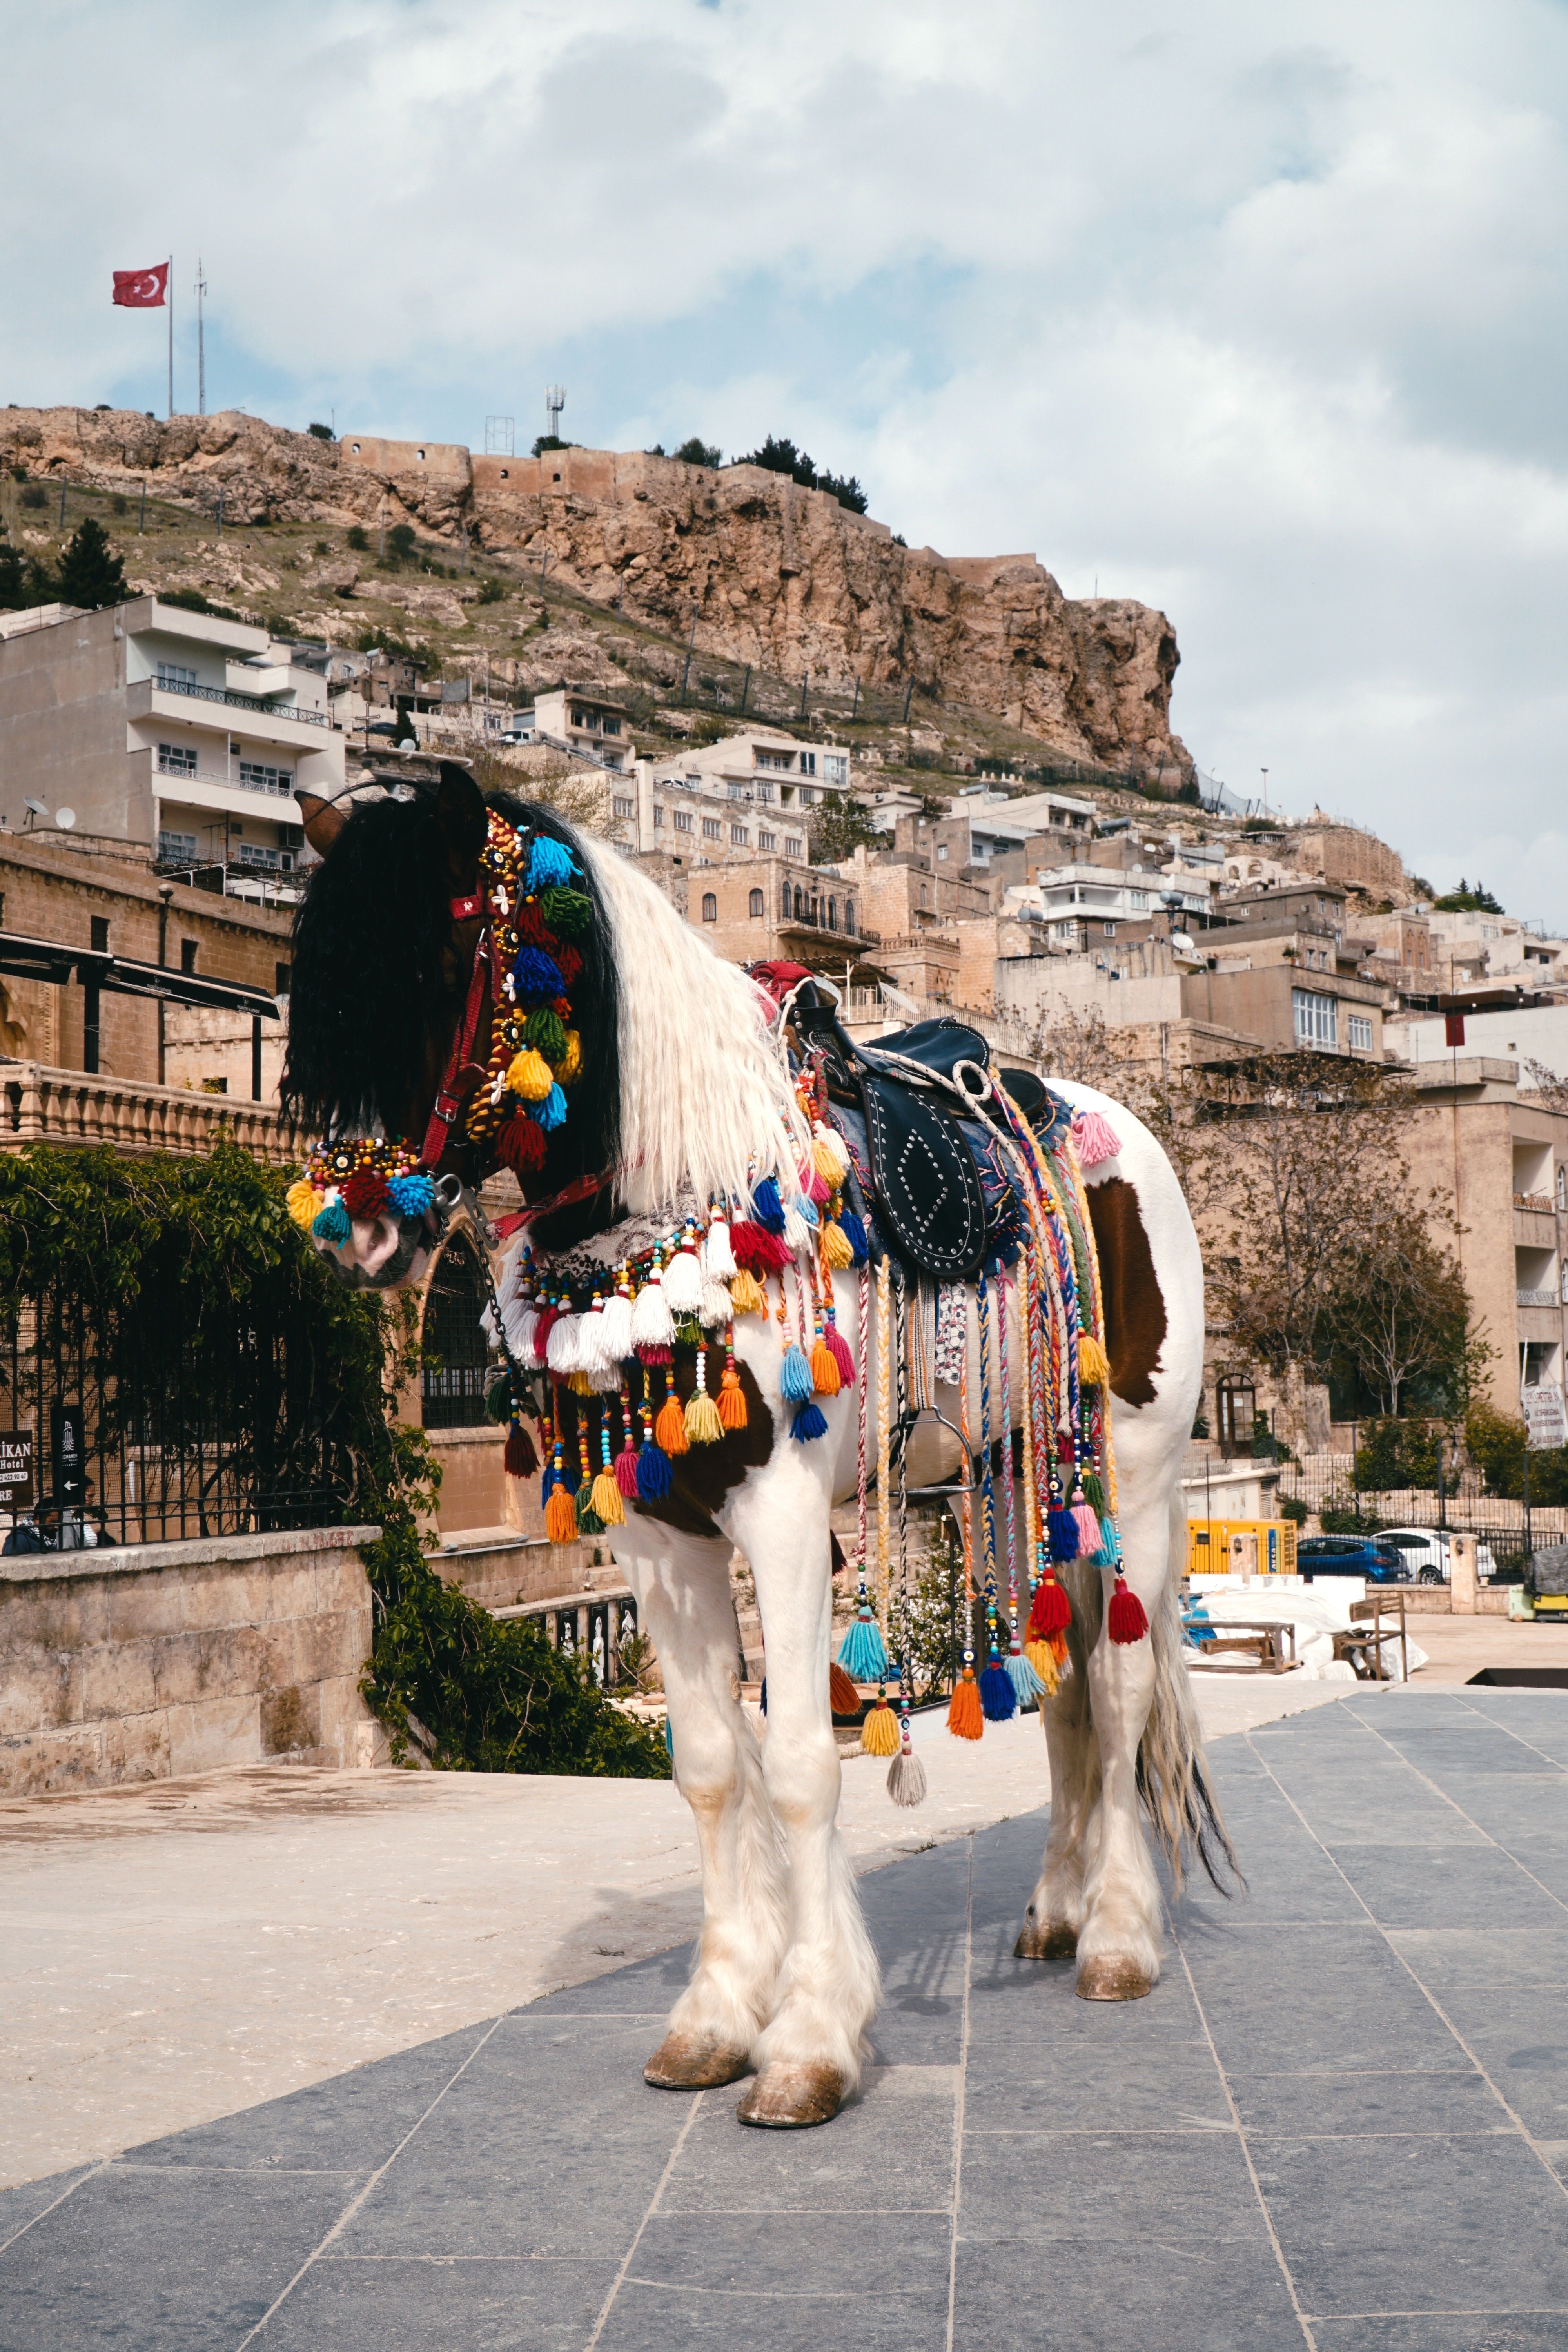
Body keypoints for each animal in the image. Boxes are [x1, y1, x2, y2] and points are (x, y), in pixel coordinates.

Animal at [281, 762, 1236, 2130]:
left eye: (442, 959)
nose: (354, 1231)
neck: (680, 1189)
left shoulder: (781, 1518)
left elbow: (796, 1764)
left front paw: (812, 2037)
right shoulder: (659, 1541)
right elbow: (709, 1769)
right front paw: (719, 2013)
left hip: (1142, 1480)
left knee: (1117, 1682)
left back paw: (1115, 1932)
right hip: (1015, 1481)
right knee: (1060, 1684)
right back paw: (1058, 1908)